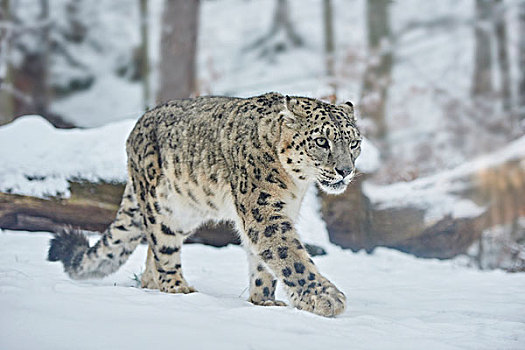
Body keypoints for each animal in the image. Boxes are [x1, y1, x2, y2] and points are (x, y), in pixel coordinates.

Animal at [47, 92, 360, 318]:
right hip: (163, 208)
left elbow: (264, 262)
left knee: (151, 252)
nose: (345, 170)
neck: (296, 184)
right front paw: (326, 298)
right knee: (163, 247)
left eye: (354, 143)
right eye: (321, 141)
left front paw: (264, 302)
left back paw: (152, 284)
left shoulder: (280, 211)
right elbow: (290, 255)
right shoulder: (264, 211)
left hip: (186, 213)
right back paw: (178, 288)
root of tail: (136, 127)